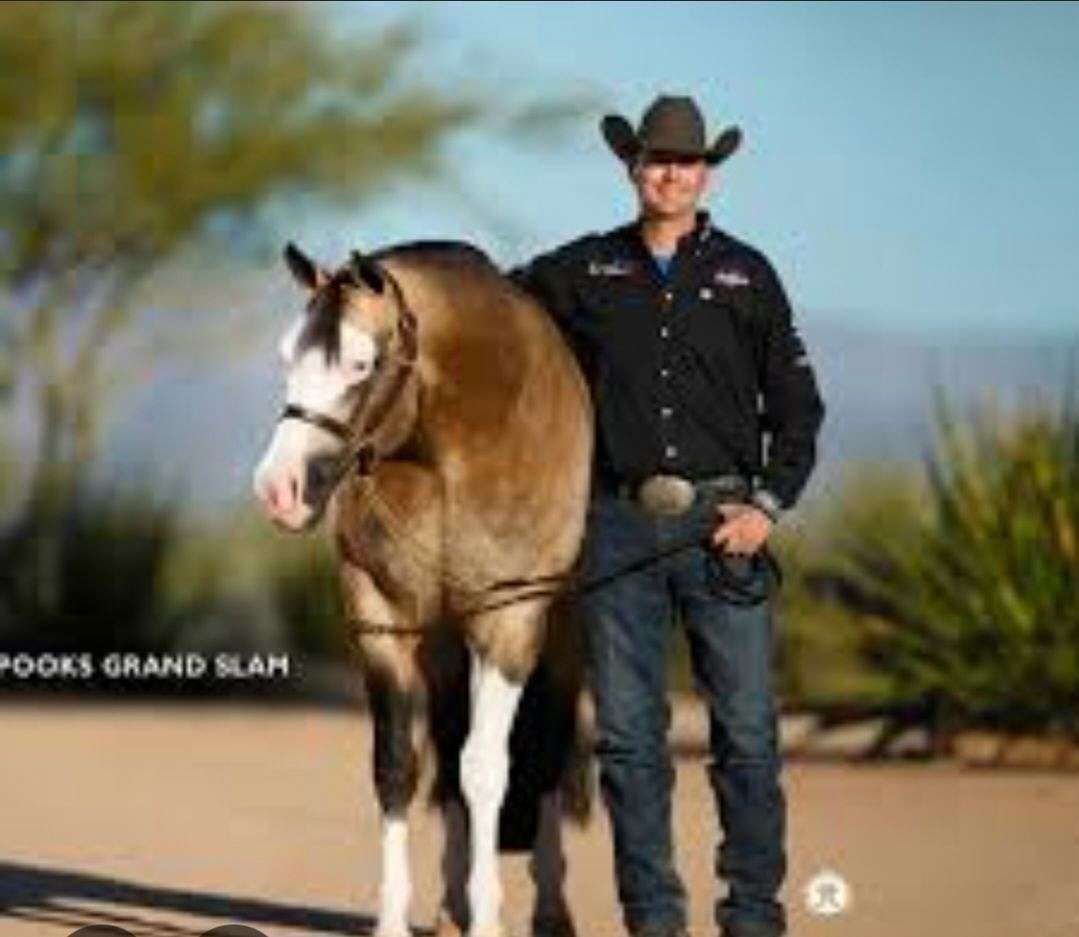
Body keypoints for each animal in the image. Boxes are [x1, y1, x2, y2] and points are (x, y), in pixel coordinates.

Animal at [252, 239, 594, 937]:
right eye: (286, 355)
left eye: (361, 364)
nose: (279, 490)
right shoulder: (382, 621)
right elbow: (398, 766)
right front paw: (396, 918)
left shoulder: (509, 624)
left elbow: (486, 770)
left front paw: (490, 919)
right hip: (441, 645)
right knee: (446, 744)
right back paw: (452, 903)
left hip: (561, 642)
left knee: (544, 754)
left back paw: (548, 908)